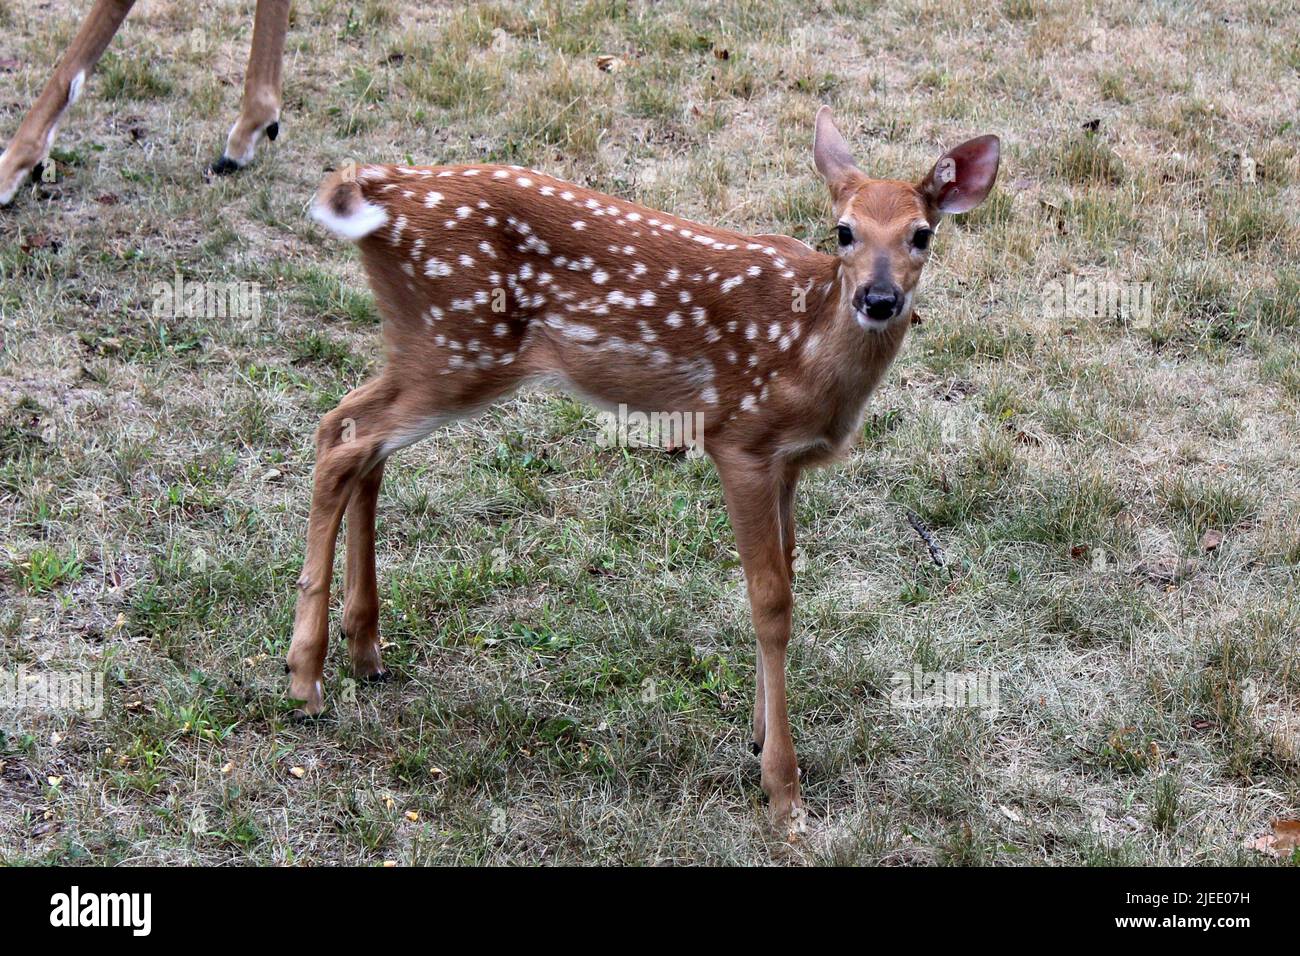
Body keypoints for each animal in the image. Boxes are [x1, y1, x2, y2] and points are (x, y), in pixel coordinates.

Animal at [296, 106, 1000, 833]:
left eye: (922, 234)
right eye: (844, 230)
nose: (879, 298)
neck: (808, 353)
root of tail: (383, 185)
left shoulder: (789, 463)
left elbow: (789, 578)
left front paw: (758, 736)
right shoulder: (740, 440)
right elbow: (771, 601)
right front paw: (783, 790)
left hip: (426, 344)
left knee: (351, 434)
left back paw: (364, 648)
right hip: (455, 345)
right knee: (344, 443)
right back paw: (306, 679)